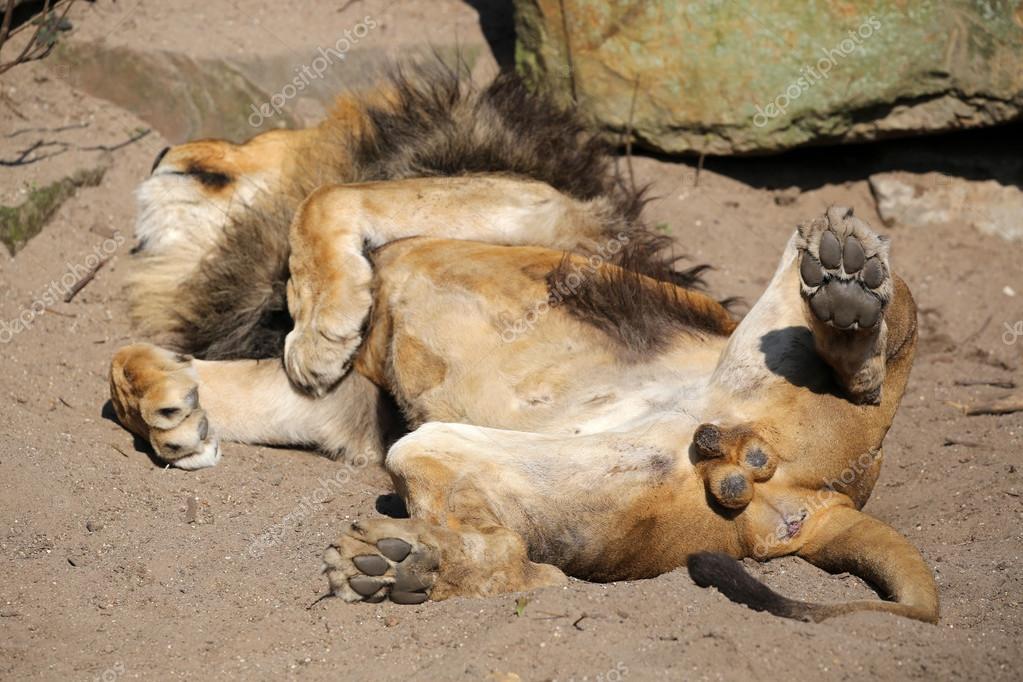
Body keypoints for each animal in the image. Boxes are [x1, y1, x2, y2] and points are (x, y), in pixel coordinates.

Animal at [107, 64, 938, 622]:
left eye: (247, 134)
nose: (157, 155)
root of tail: (824, 500)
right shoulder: (355, 408)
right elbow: (129, 360)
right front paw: (171, 415)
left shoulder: (537, 205)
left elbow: (327, 196)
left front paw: (317, 328)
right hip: (459, 453)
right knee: (528, 569)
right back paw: (403, 569)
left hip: (786, 334)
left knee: (886, 337)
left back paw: (848, 300)